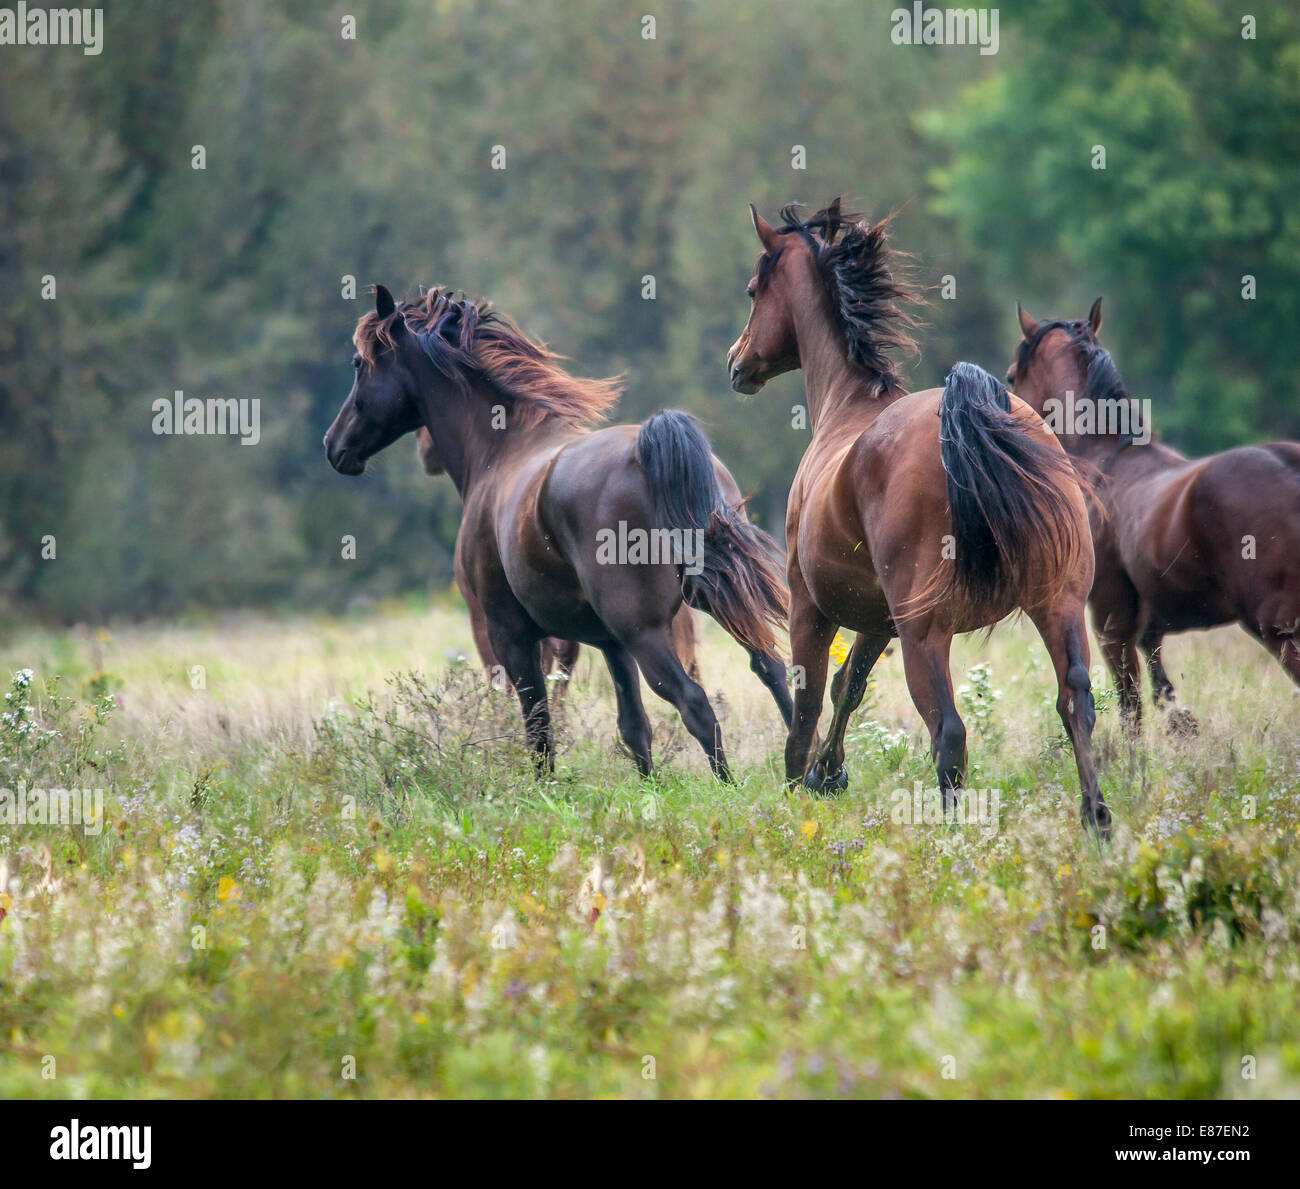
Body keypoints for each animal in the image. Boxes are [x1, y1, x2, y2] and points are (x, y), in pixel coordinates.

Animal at [727, 200, 1110, 835]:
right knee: (1074, 701)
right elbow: (850, 686)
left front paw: (798, 785)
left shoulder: (810, 607)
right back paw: (1097, 821)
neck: (846, 408)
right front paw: (828, 773)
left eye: (754, 290)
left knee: (949, 733)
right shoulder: (878, 619)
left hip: (925, 636)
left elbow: (809, 702)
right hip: (1057, 604)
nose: (736, 364)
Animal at [1006, 299, 1300, 726]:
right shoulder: (1149, 632)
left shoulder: (1111, 626)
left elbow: (1131, 708)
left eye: (1012, 376)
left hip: (1277, 629)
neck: (1105, 463)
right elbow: (1168, 702)